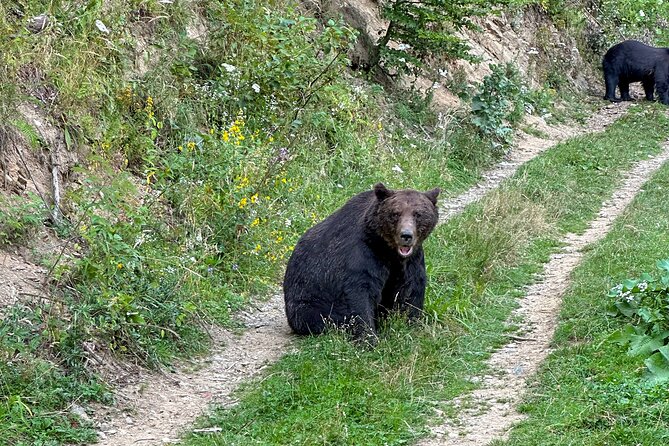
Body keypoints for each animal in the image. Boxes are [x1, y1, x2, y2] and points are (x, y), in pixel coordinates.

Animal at [283, 182, 440, 344]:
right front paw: (369, 338)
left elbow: (411, 288)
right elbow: (360, 293)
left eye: (418, 214)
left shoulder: (410, 261)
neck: (388, 250)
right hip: (309, 299)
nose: (406, 235)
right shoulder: (363, 254)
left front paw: (411, 325)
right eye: (395, 213)